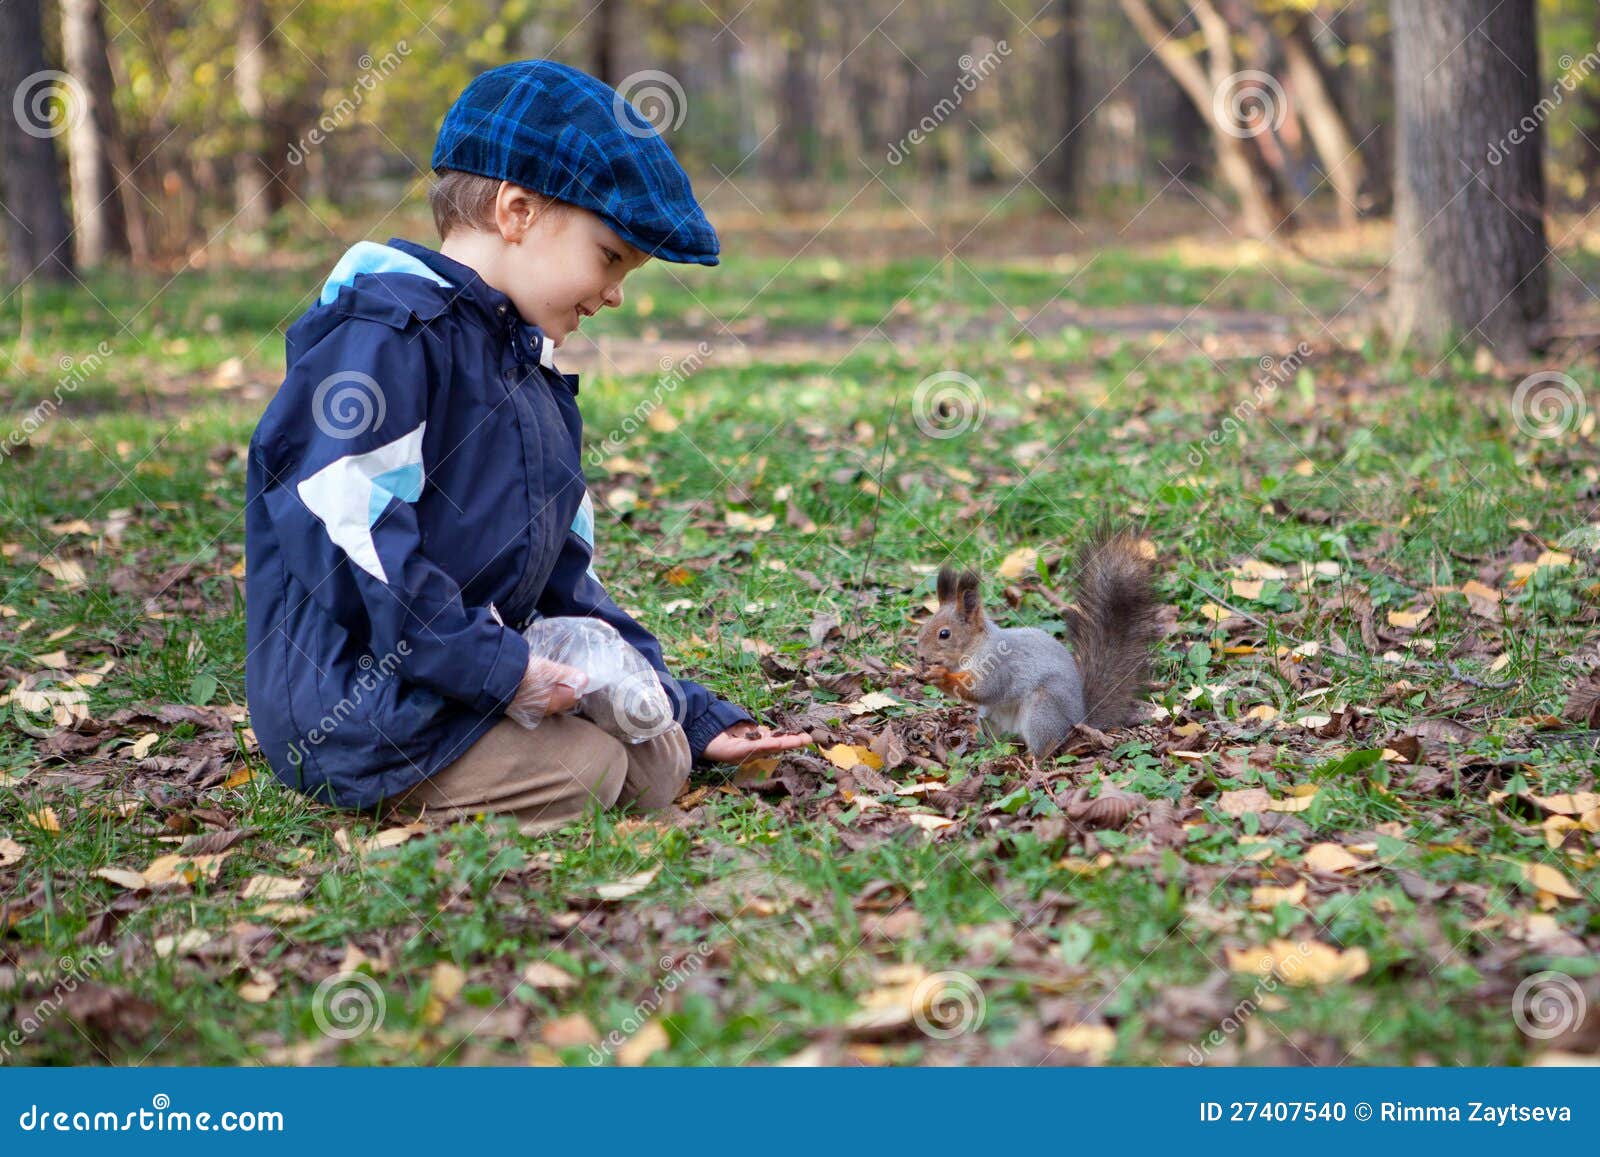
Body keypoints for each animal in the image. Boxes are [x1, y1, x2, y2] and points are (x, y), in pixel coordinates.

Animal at [915, 522, 1161, 757]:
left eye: (944, 634)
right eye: (925, 626)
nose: (920, 656)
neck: (974, 648)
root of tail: (1078, 719)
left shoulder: (997, 665)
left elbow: (984, 688)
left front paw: (941, 676)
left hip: (1042, 712)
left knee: (1046, 748)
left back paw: (1032, 760)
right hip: (991, 716)